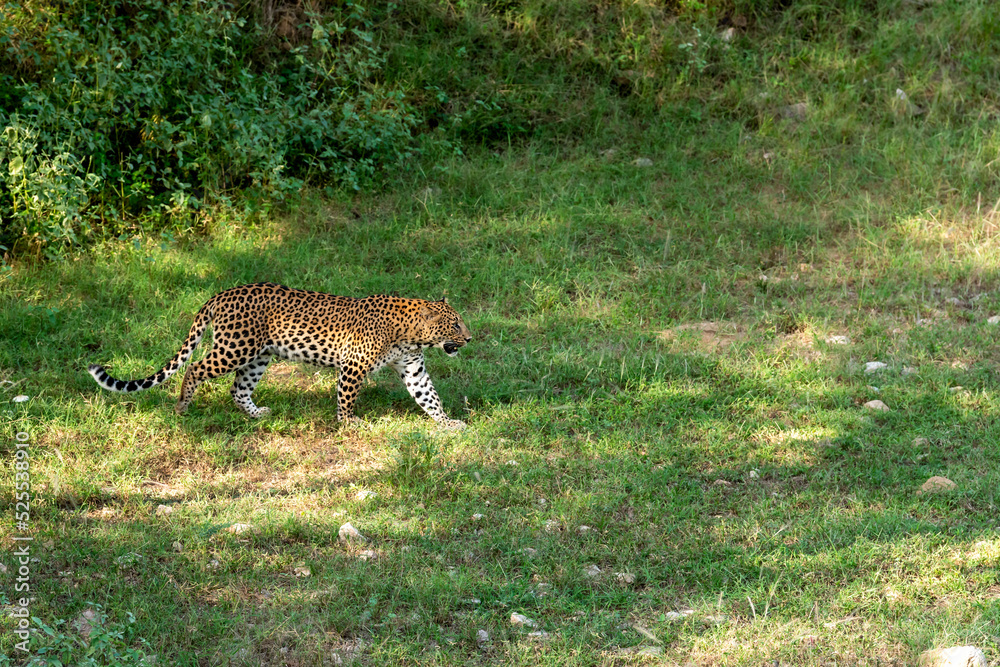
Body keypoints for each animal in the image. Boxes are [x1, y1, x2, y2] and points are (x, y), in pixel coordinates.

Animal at [88, 283, 473, 428]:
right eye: (455, 324)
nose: (469, 338)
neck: (411, 335)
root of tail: (220, 294)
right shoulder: (353, 366)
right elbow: (346, 399)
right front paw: (348, 424)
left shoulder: (413, 368)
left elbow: (429, 397)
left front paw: (448, 422)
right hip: (233, 349)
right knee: (194, 368)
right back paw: (182, 407)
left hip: (258, 356)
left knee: (237, 389)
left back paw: (256, 414)